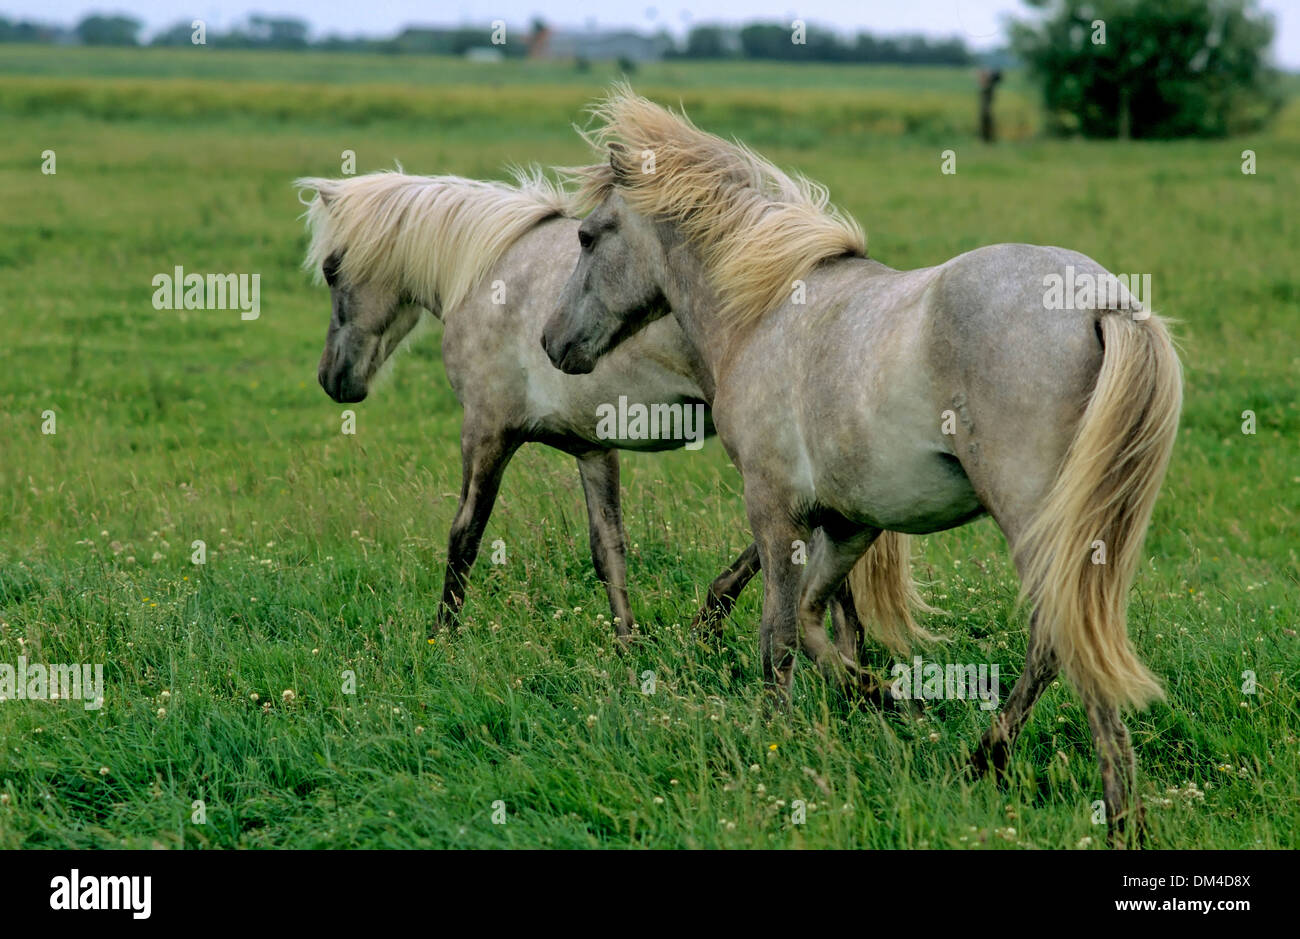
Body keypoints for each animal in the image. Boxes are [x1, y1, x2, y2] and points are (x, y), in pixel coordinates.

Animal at [296, 168, 914, 644]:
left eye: (330, 269)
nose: (333, 379)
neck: (490, 271)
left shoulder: (486, 432)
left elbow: (464, 536)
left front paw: (441, 637)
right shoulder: (592, 450)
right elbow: (608, 548)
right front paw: (626, 643)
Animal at [541, 89, 1182, 842]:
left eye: (589, 237)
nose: (552, 342)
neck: (765, 312)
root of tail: (1104, 302)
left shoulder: (773, 509)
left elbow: (778, 633)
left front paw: (773, 735)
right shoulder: (850, 523)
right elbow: (820, 622)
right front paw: (882, 698)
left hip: (1035, 520)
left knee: (1058, 636)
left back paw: (1093, 806)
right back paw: (1000, 766)